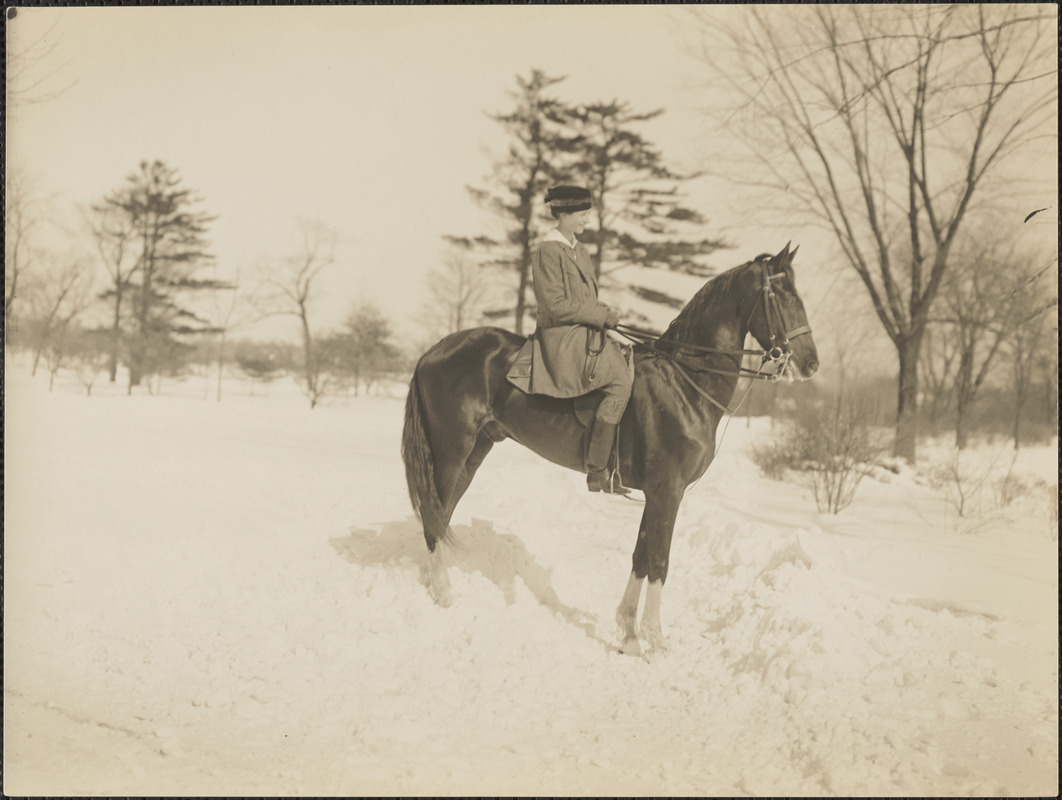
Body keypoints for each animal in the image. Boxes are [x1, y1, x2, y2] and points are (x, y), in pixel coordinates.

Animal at [401, 243, 819, 656]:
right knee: (435, 514)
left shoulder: (657, 493)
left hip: (475, 453)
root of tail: (433, 351)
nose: (811, 364)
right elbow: (659, 561)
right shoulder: (668, 492)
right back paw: (443, 593)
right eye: (783, 294)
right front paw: (656, 639)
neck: (685, 381)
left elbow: (640, 557)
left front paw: (629, 634)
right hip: (452, 454)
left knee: (441, 513)